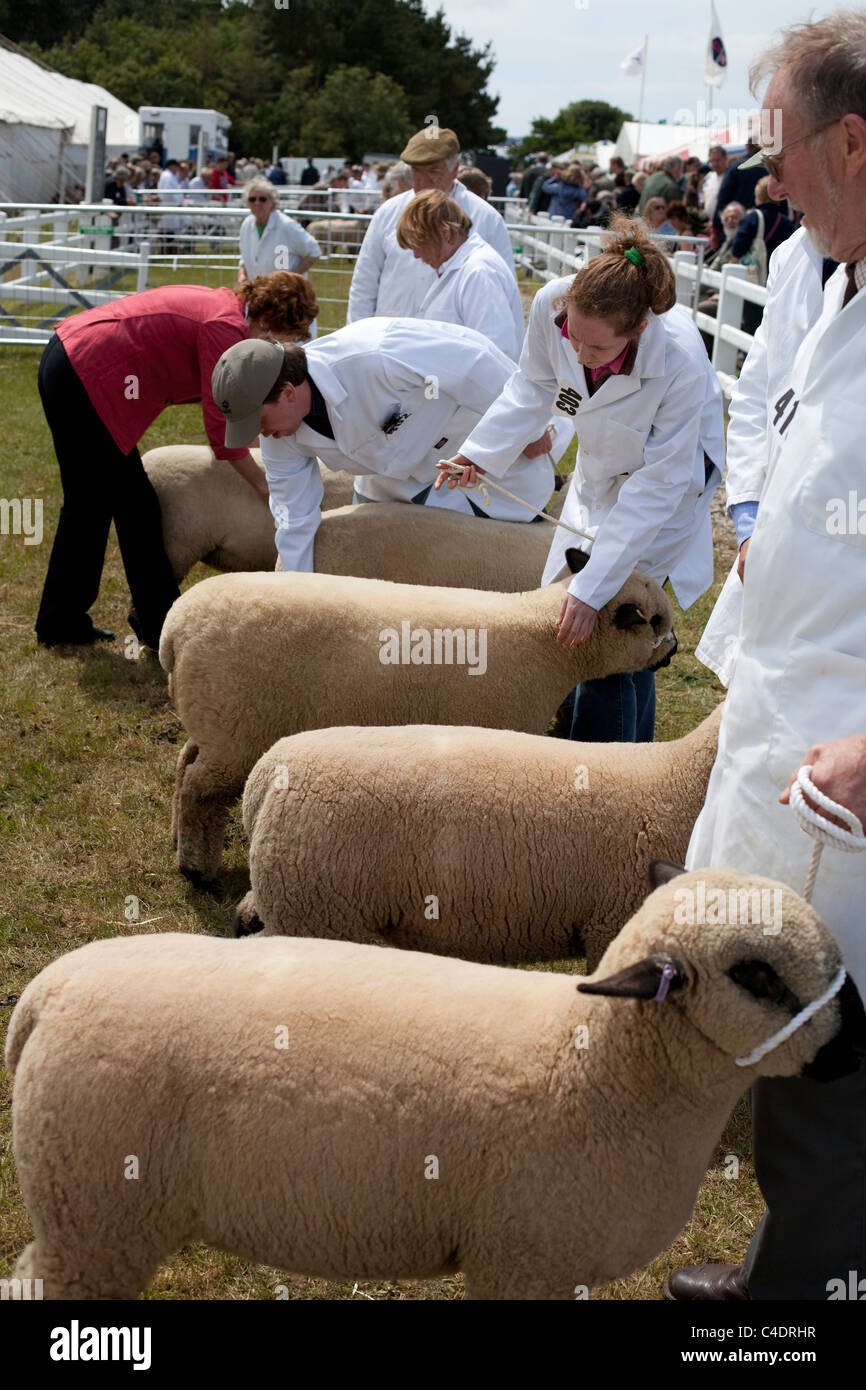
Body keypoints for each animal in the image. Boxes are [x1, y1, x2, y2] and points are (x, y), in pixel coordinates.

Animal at [7, 868, 863, 1300]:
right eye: (756, 975)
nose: (857, 1042)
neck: (593, 1072)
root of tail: (49, 991)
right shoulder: (524, 1262)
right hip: (94, 1216)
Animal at [160, 553, 677, 880]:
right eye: (654, 622)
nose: (672, 650)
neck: (545, 642)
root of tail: (175, 631)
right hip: (237, 729)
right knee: (200, 791)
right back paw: (197, 868)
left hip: (214, 717)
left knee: (185, 764)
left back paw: (177, 840)